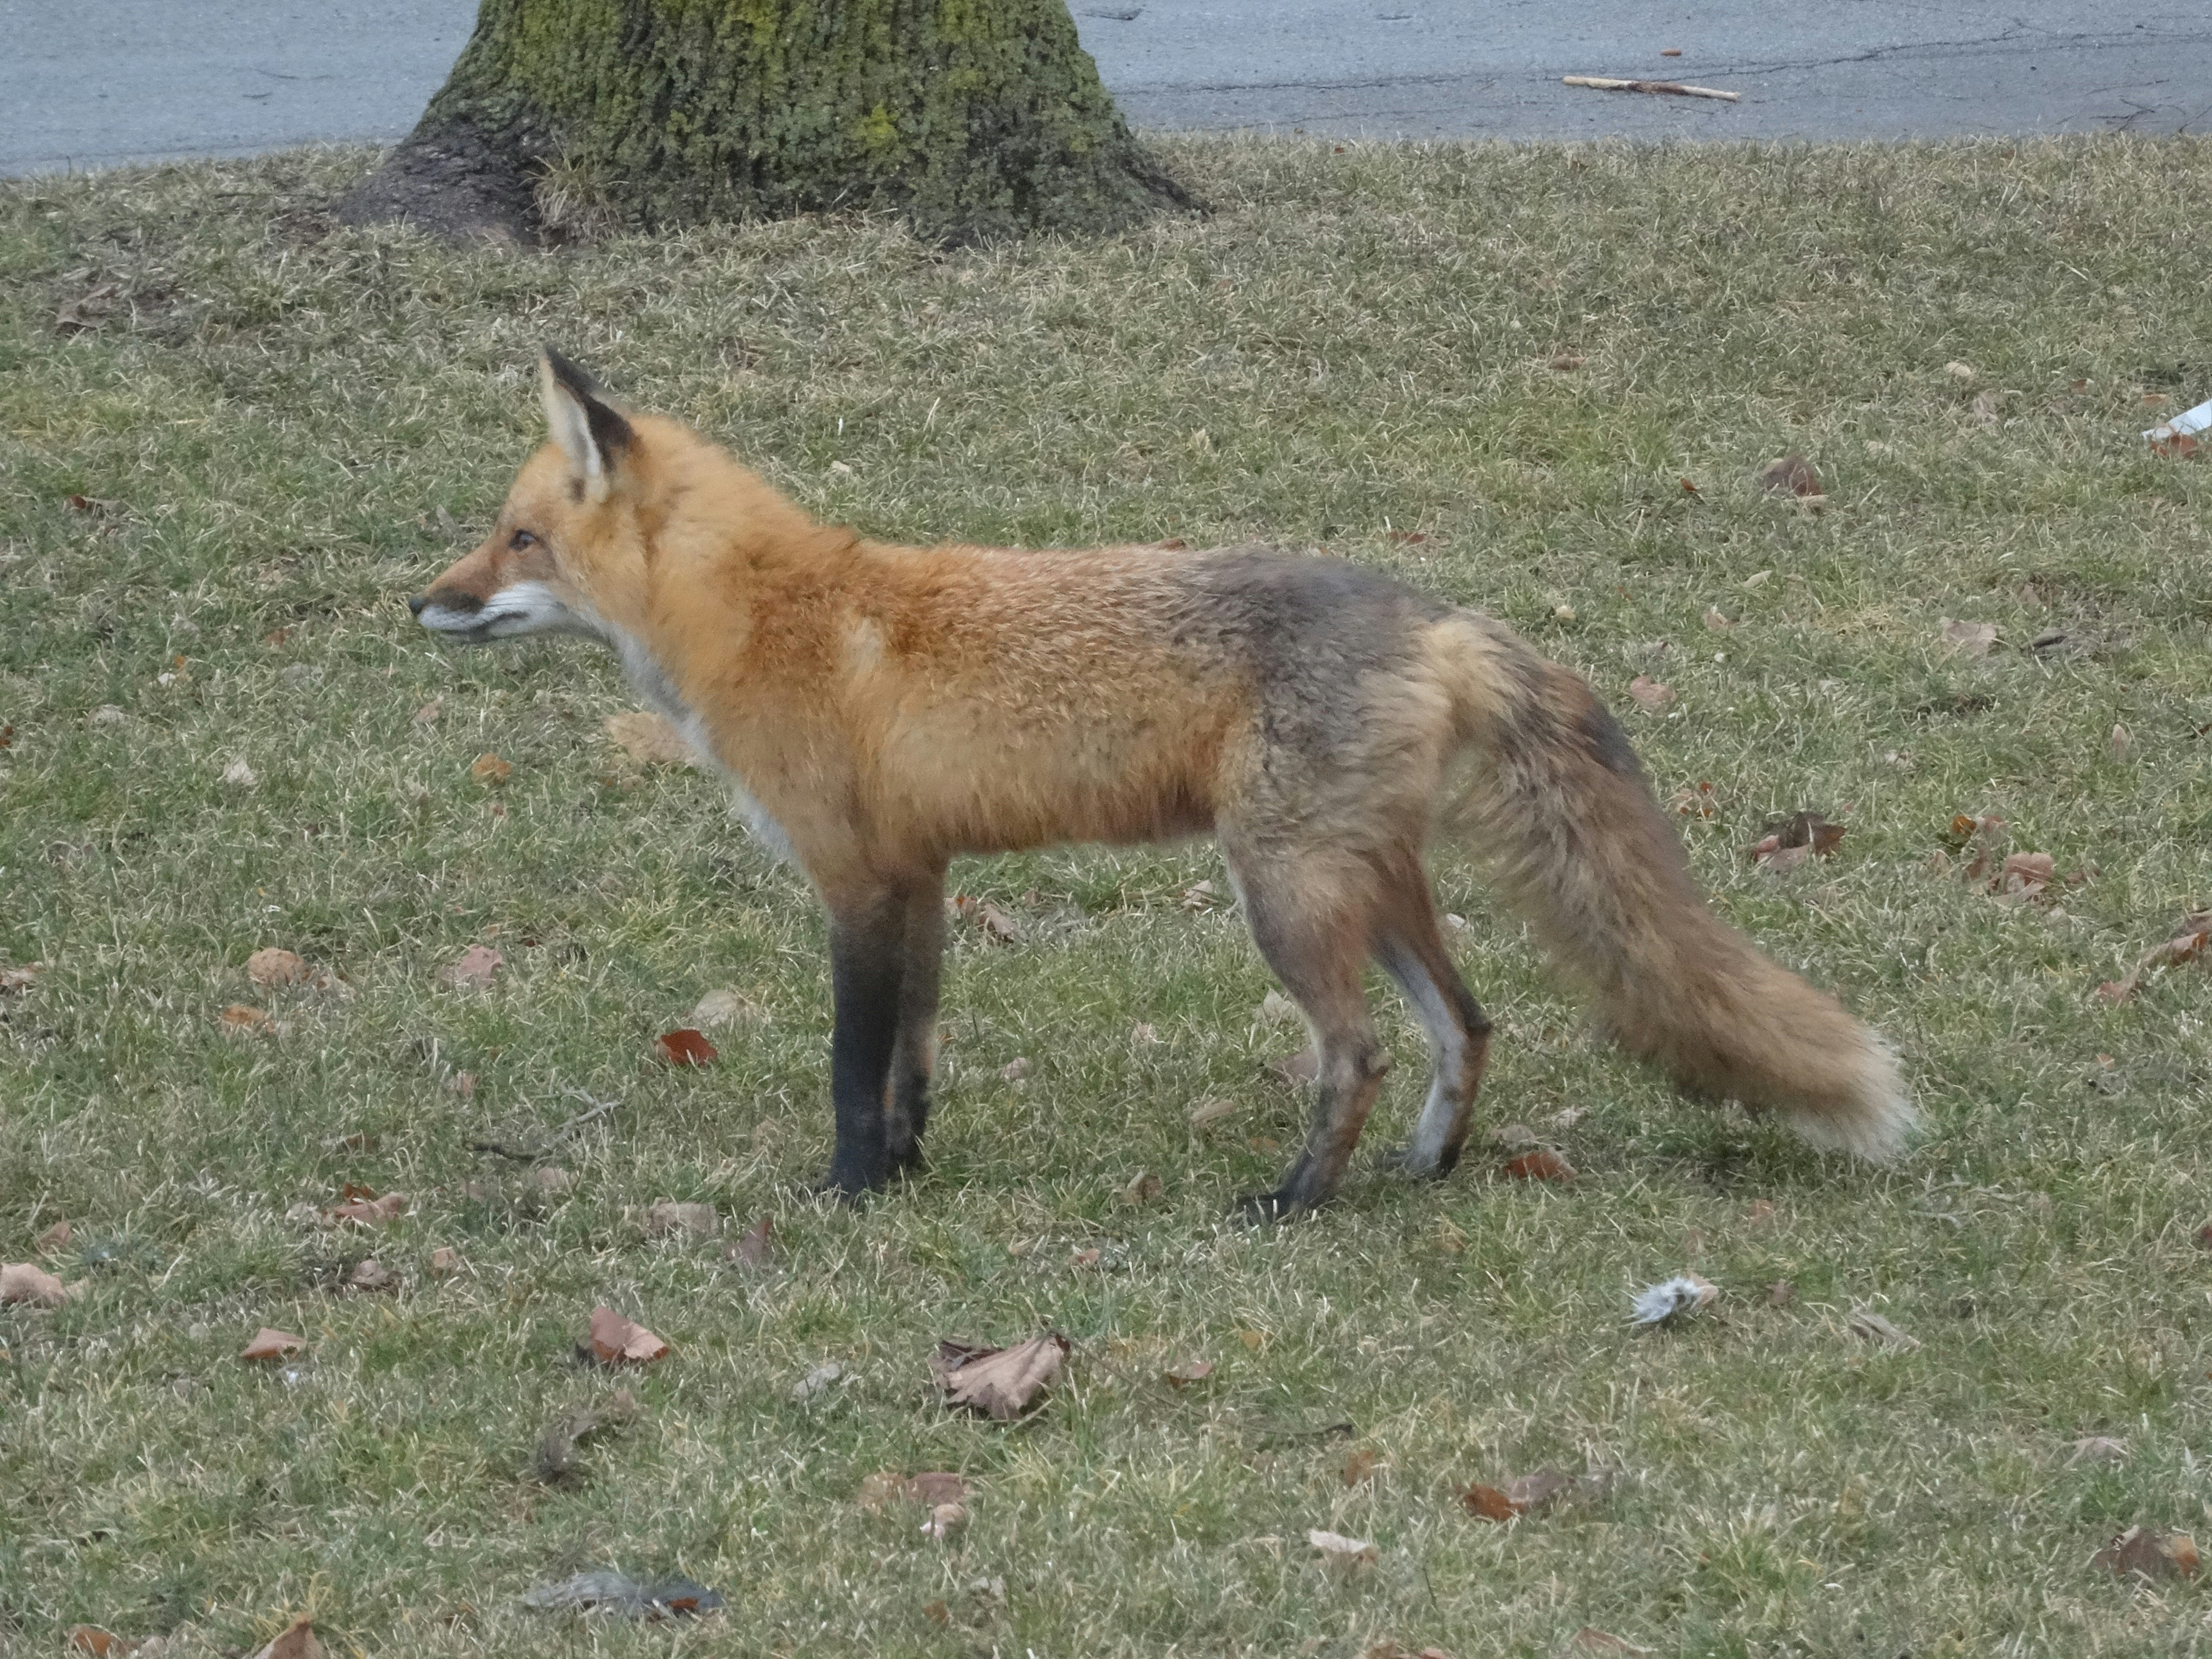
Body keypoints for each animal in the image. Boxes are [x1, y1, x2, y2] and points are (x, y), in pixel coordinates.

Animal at [410, 350, 1911, 1216]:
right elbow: (914, 1058)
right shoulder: (925, 876)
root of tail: (1430, 614)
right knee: (1469, 1025)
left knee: (1359, 1051)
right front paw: (909, 1173)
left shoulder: (859, 882)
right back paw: (1424, 1171)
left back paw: (1296, 1201)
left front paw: (845, 1196)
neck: (774, 618)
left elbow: (850, 1064)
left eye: (518, 538)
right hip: (1371, 882)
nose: (418, 602)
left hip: (1283, 893)